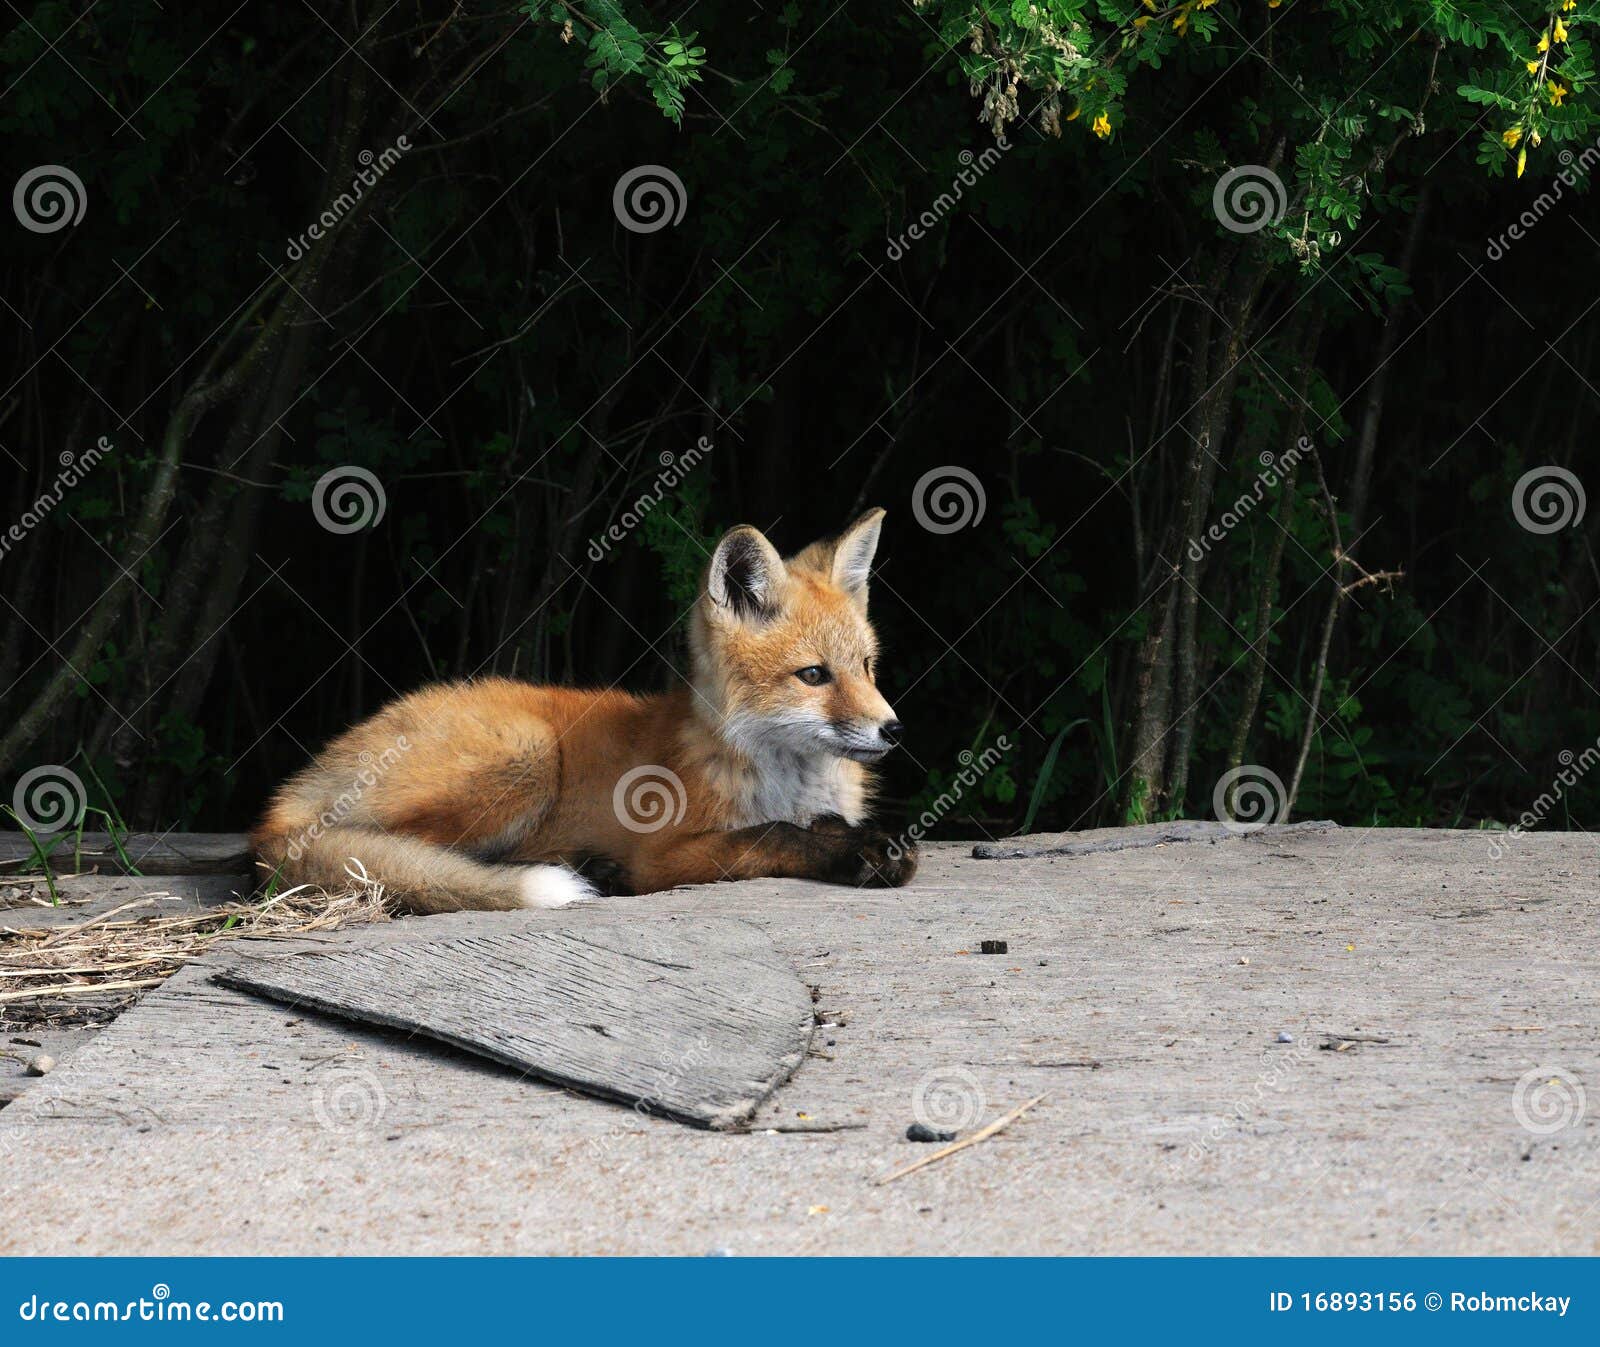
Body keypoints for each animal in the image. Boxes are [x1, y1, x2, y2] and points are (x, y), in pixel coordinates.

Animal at [250, 508, 917, 911]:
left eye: (867, 667)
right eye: (814, 675)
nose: (894, 730)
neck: (783, 780)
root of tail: (280, 813)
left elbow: (818, 825)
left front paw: (866, 841)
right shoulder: (671, 855)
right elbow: (773, 835)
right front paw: (855, 853)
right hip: (527, 755)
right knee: (400, 857)